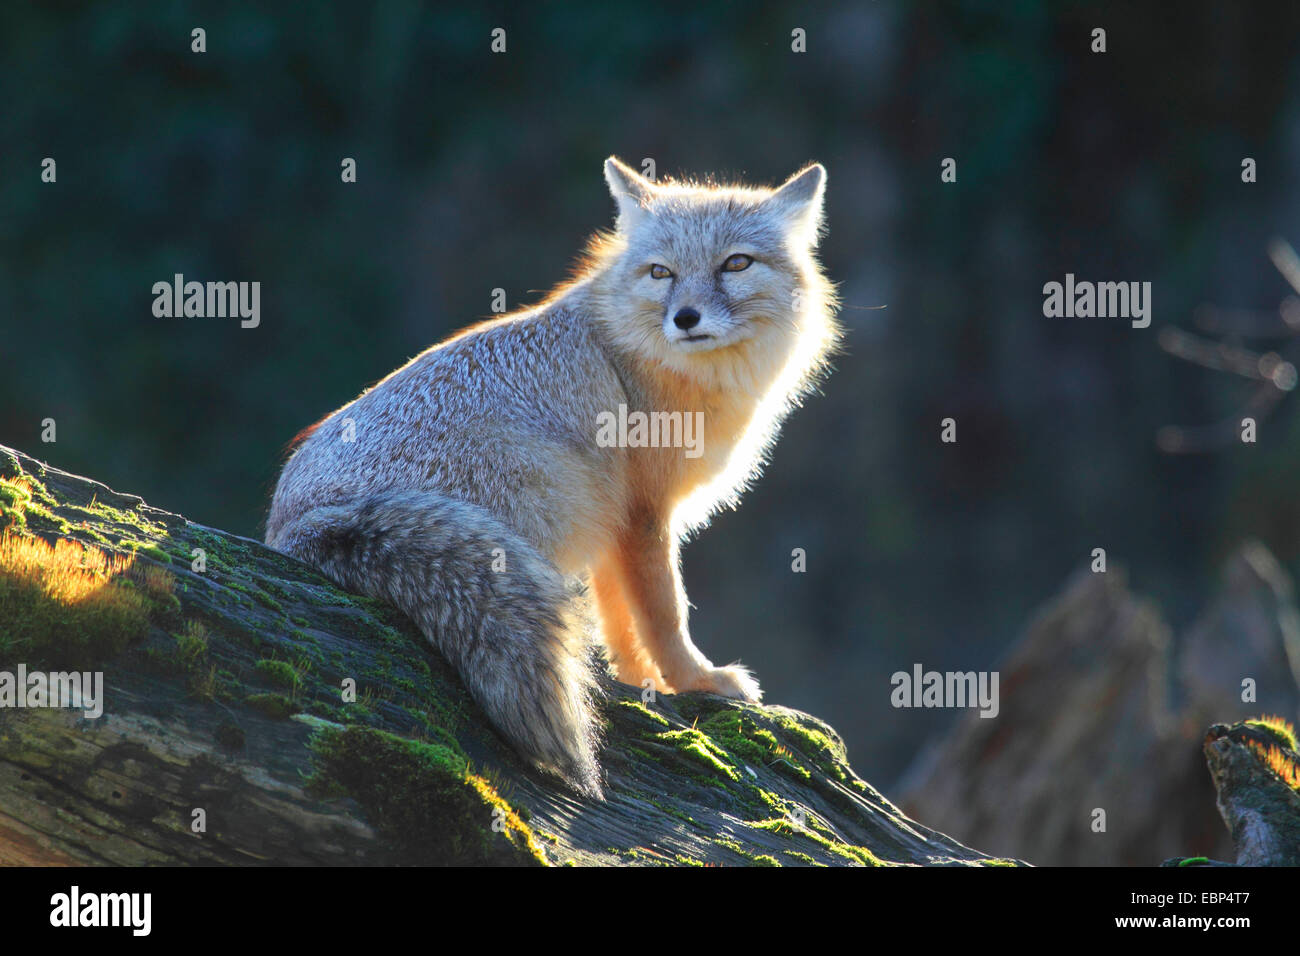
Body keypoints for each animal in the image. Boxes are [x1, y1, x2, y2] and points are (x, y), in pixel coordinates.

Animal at [265, 157, 841, 798]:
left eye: (735, 264)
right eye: (661, 273)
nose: (685, 318)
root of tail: (291, 526)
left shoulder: (617, 521)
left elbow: (621, 622)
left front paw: (641, 681)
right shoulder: (645, 512)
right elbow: (665, 613)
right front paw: (697, 679)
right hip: (543, 492)